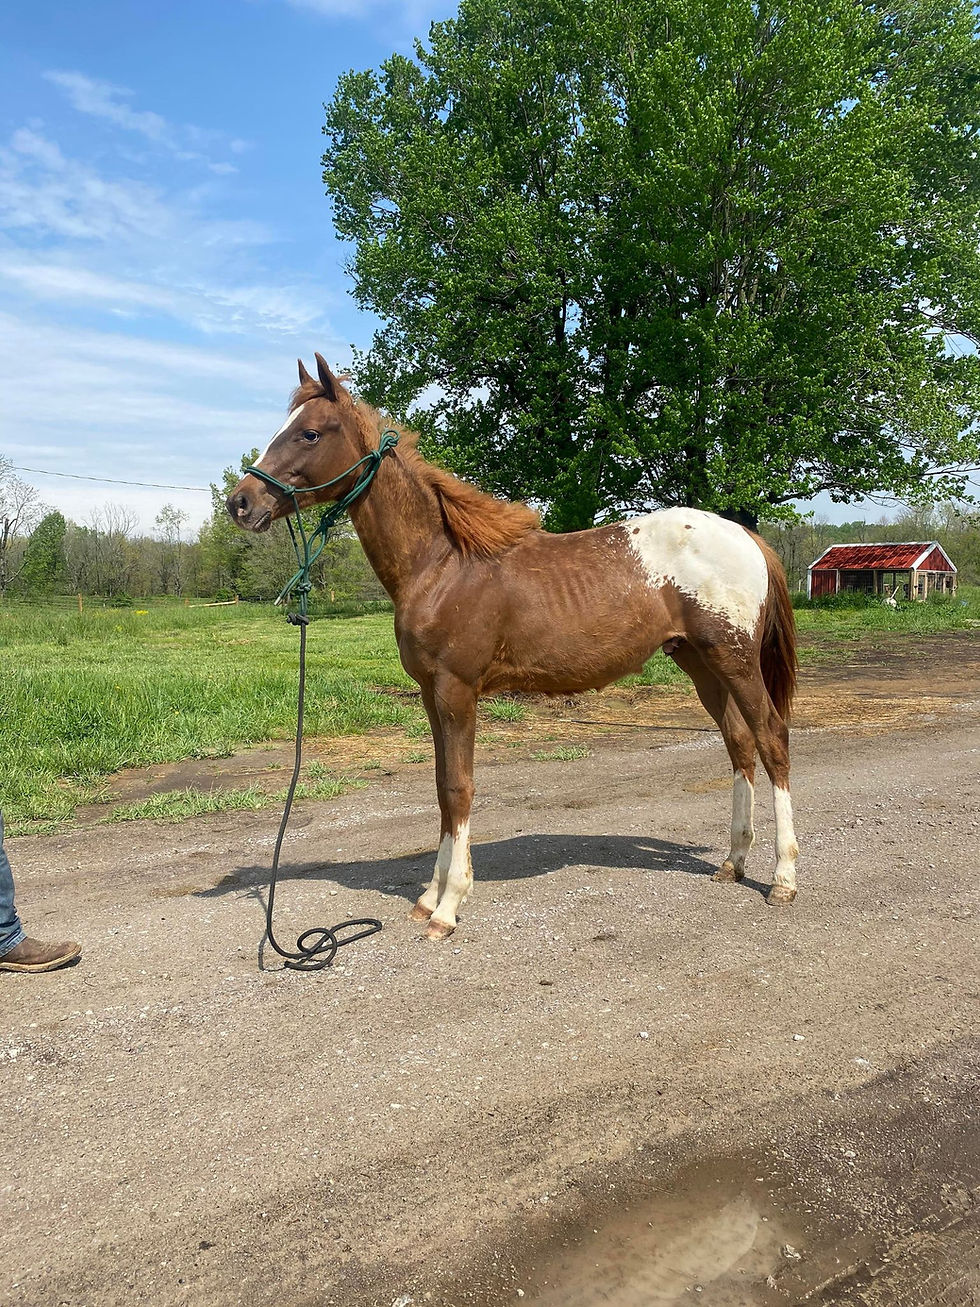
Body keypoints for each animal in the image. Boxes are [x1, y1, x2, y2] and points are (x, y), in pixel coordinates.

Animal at [228, 355, 799, 940]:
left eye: (310, 433)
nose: (240, 502)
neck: (442, 565)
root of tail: (748, 538)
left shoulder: (457, 690)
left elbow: (458, 788)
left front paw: (448, 907)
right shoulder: (432, 695)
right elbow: (441, 787)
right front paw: (428, 897)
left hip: (734, 660)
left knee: (771, 739)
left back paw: (783, 878)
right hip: (700, 662)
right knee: (739, 744)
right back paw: (733, 863)